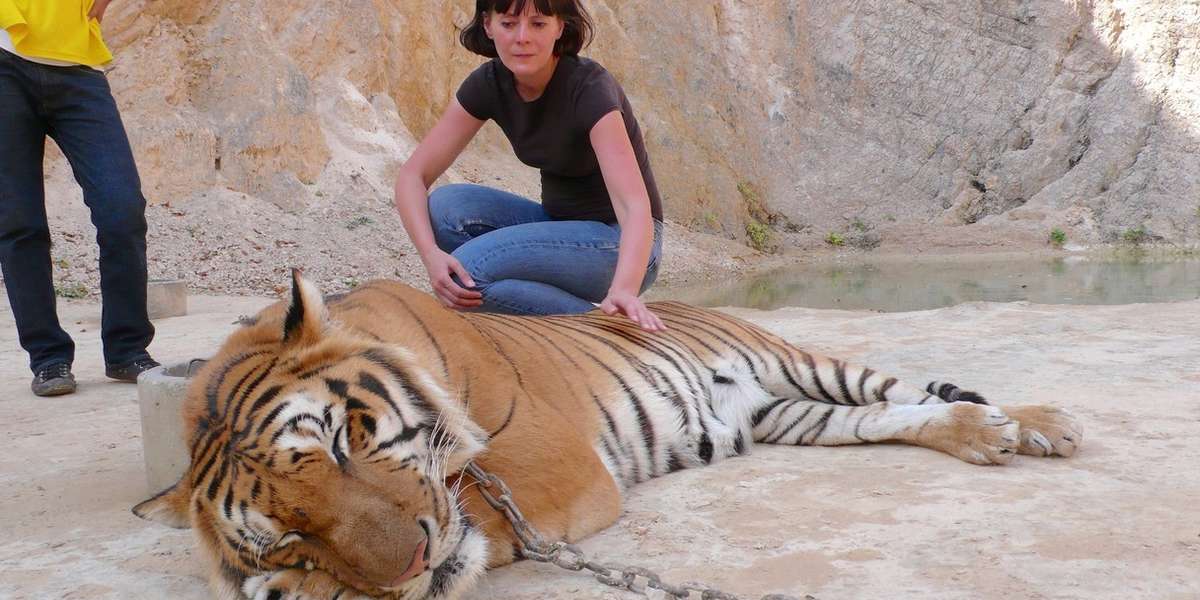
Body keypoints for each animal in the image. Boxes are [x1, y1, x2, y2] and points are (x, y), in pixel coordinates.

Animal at [133, 272, 1081, 600]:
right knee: (898, 415)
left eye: (337, 443)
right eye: (289, 531)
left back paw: (1038, 424)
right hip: (794, 417)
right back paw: (989, 435)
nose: (412, 563)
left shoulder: (548, 466)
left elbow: (479, 507)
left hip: (803, 362)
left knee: (904, 387)